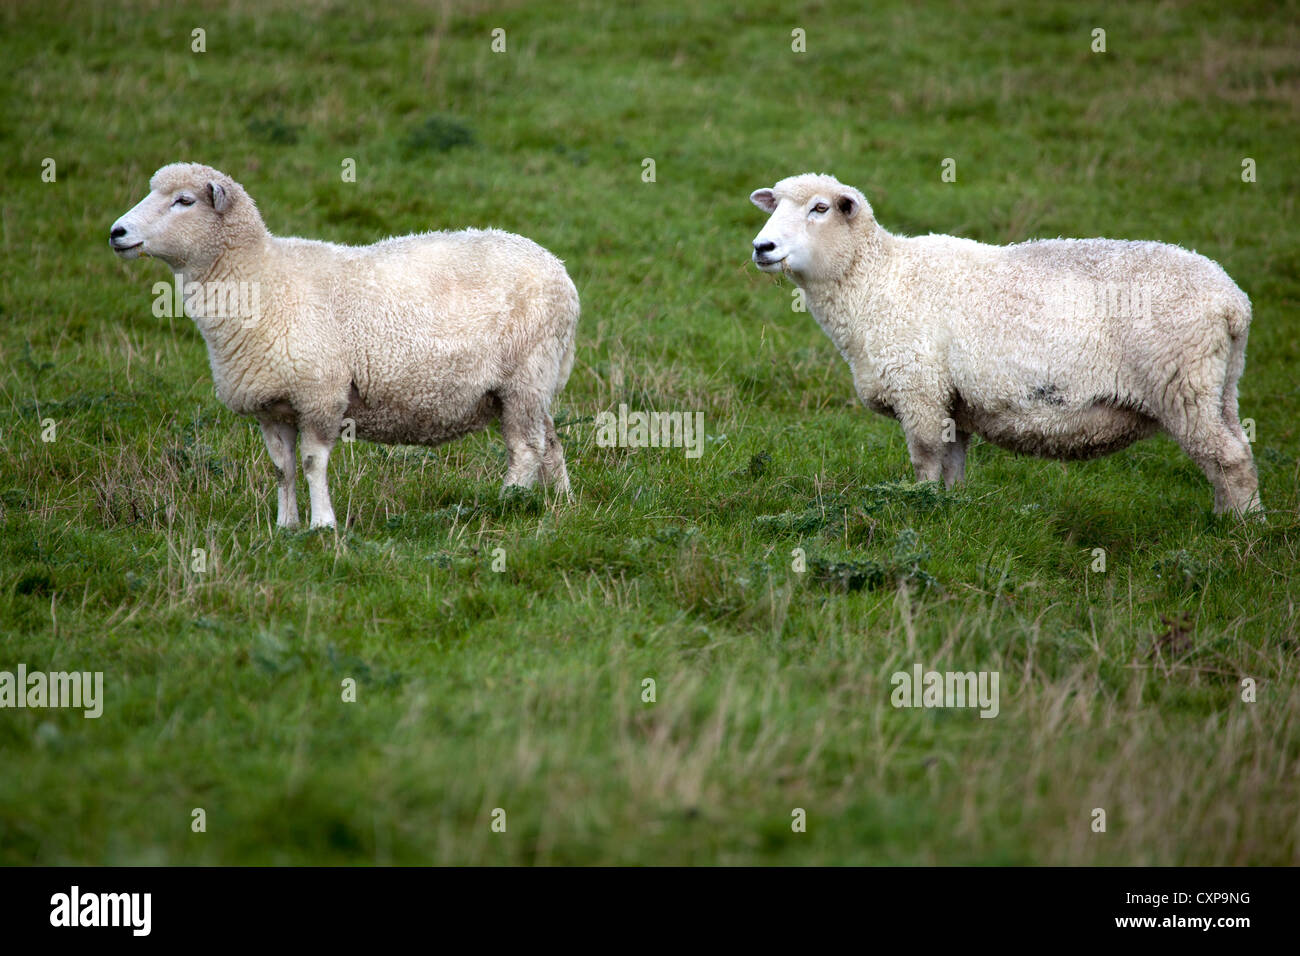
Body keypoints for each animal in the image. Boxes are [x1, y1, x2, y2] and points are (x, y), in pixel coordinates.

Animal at [110, 162, 579, 529]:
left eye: (184, 201)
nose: (117, 232)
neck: (262, 276)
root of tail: (559, 269)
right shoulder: (271, 405)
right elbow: (282, 469)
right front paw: (285, 525)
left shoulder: (320, 395)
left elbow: (313, 463)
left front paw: (322, 524)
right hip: (533, 383)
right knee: (551, 442)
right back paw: (560, 503)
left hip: (524, 377)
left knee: (526, 449)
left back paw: (507, 502)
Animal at [749, 173, 1261, 516]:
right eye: (772, 206)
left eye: (819, 209)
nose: (761, 247)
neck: (878, 278)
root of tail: (1233, 300)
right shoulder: (950, 402)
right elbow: (952, 466)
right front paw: (947, 510)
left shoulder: (920, 391)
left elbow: (925, 461)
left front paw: (921, 506)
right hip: (1219, 386)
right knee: (1236, 450)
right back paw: (1232, 517)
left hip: (1182, 383)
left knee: (1229, 459)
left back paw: (1236, 532)